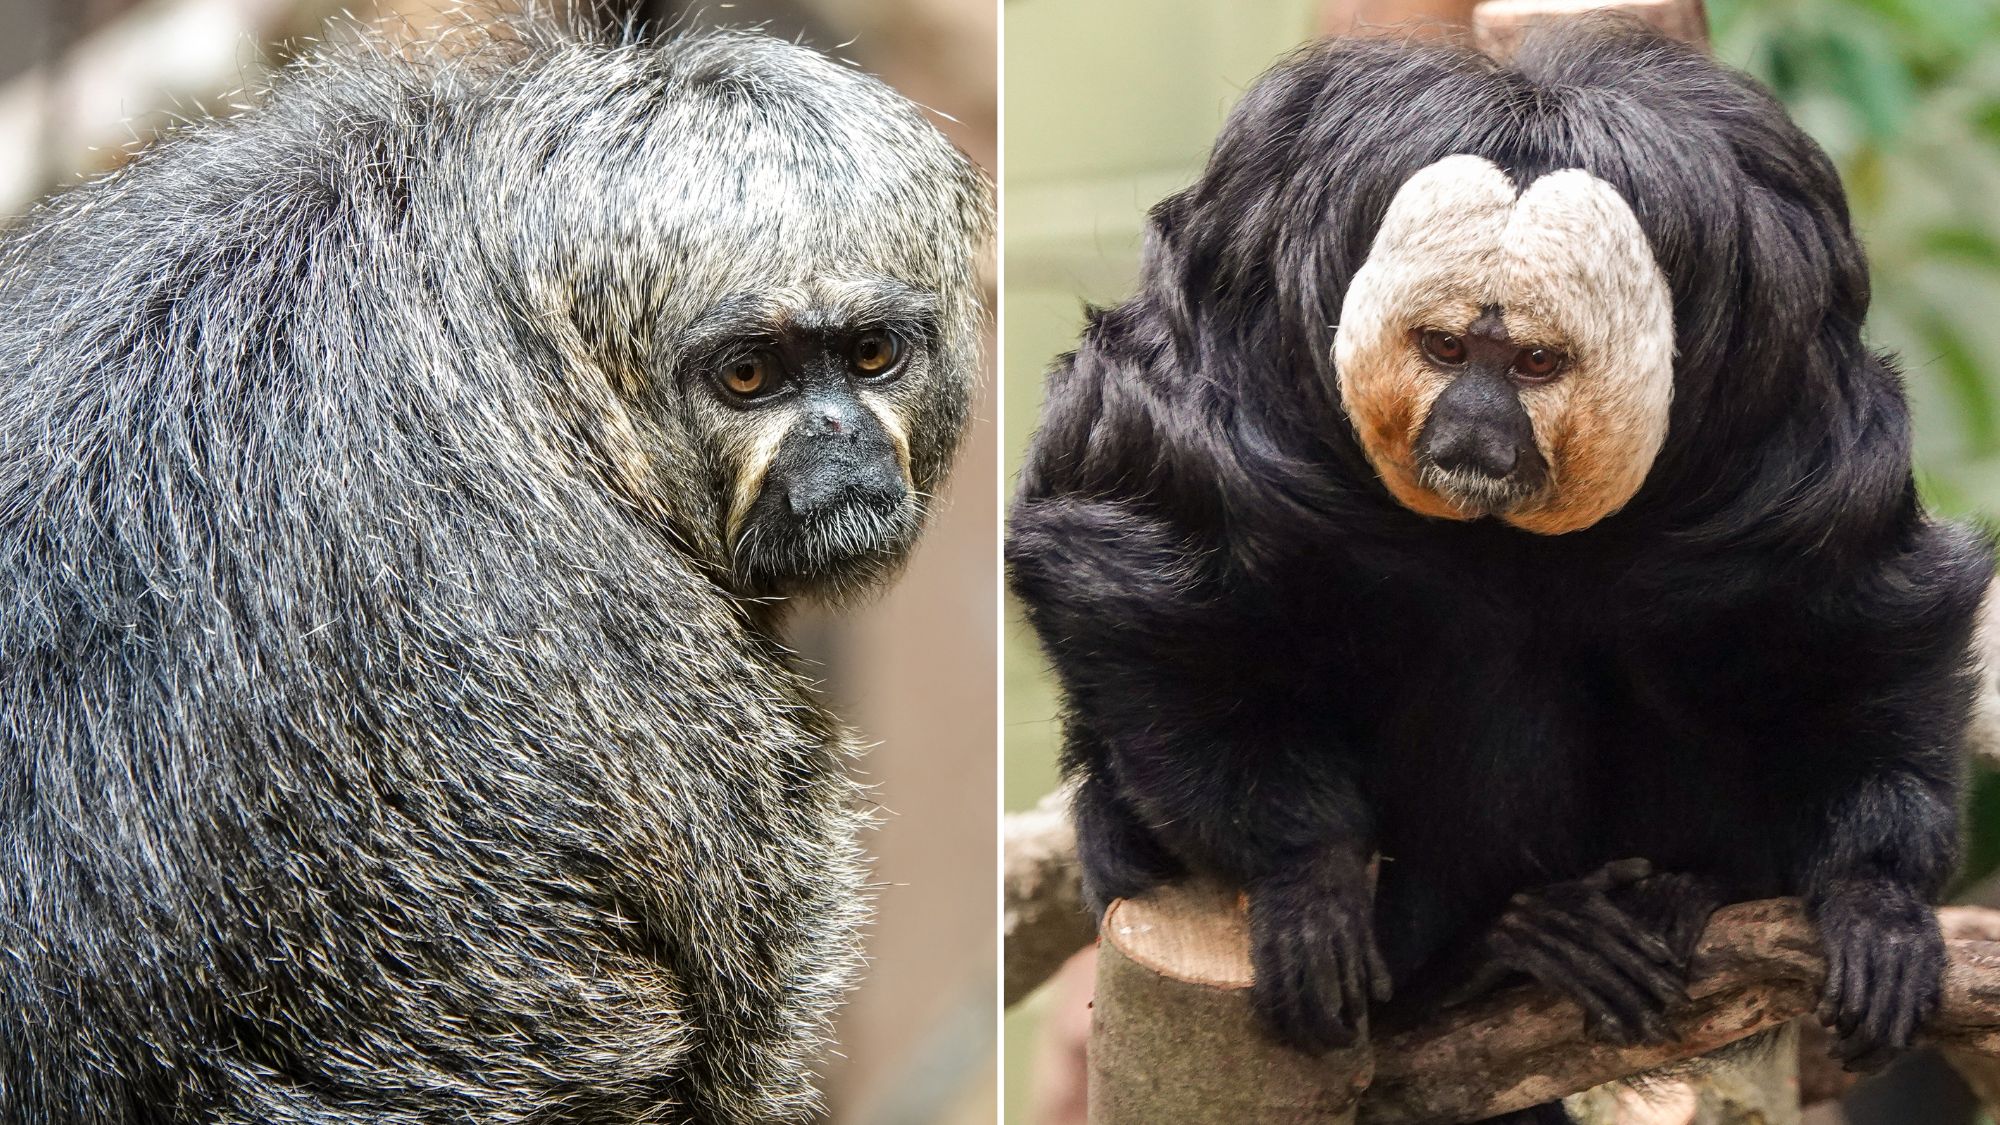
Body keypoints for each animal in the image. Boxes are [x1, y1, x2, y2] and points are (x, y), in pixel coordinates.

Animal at [1005, 16, 1992, 1120]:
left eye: (1531, 364)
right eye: (1443, 349)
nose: (1473, 428)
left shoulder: (1785, 346)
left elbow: (1857, 597)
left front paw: (1875, 897)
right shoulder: (1245, 296)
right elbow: (1141, 554)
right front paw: (1310, 875)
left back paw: (1667, 900)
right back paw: (1487, 955)